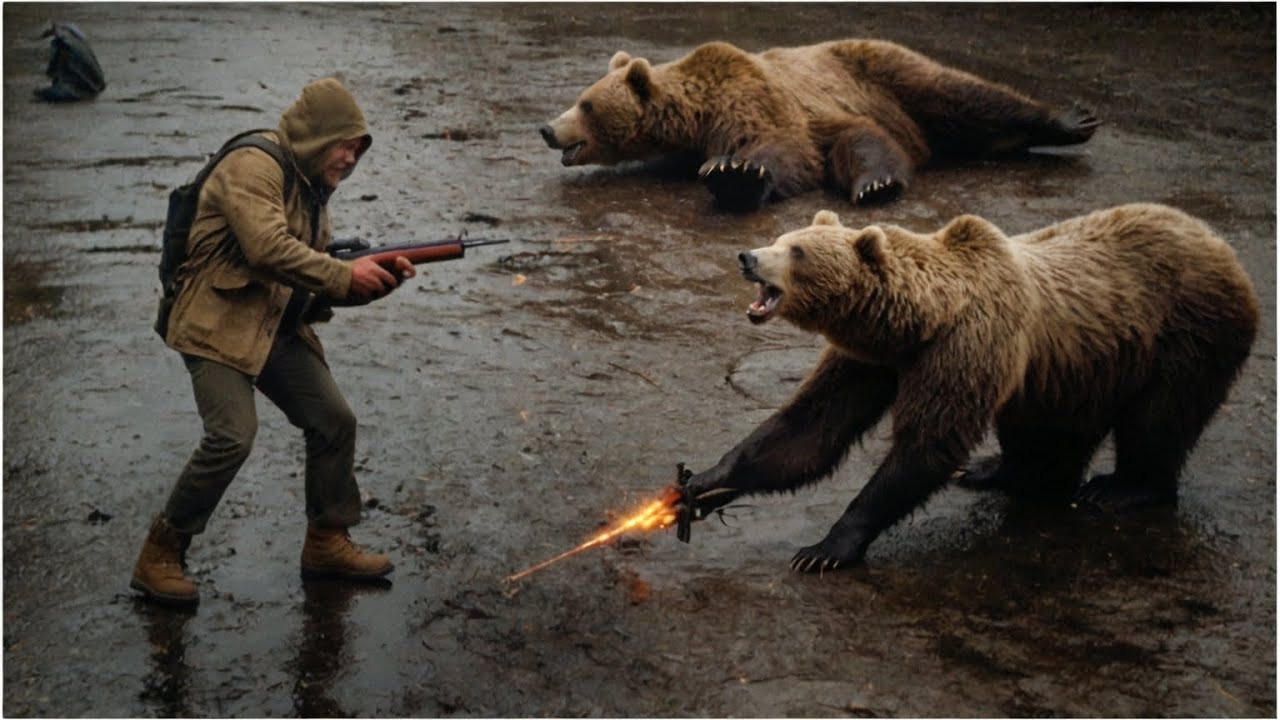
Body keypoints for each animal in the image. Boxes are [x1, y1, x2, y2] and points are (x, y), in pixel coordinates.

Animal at [539, 39, 1099, 212]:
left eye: (585, 104)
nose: (547, 128)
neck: (694, 117)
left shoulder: (757, 98)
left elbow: (787, 149)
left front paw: (734, 174)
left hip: (886, 72)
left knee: (967, 95)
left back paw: (1071, 119)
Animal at [684, 204, 1259, 572]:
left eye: (796, 249)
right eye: (782, 237)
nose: (747, 256)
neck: (916, 322)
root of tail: (1219, 243)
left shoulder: (965, 345)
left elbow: (928, 443)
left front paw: (826, 547)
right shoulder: (872, 359)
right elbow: (808, 431)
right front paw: (702, 484)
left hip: (1185, 334)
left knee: (1160, 419)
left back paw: (1120, 488)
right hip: (1078, 366)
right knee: (1044, 427)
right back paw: (997, 470)